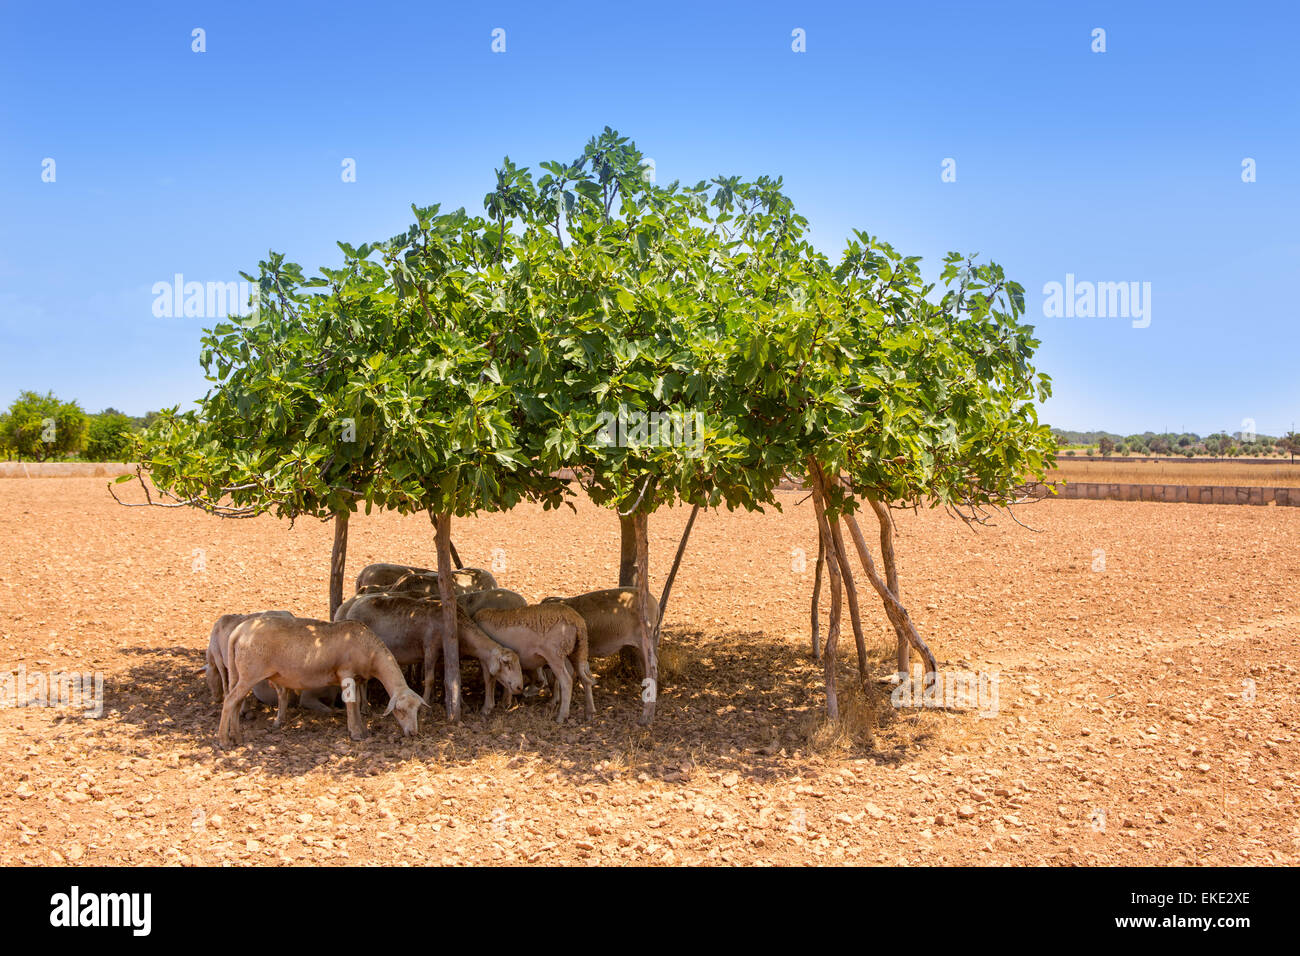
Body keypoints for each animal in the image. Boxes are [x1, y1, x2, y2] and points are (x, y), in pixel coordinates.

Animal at [218, 616, 426, 746]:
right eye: (399, 710)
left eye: (417, 710)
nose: (413, 734)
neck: (371, 653)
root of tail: (238, 631)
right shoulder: (346, 672)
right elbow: (350, 703)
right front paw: (355, 733)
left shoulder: (357, 678)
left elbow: (357, 703)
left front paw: (361, 729)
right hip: (250, 674)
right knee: (229, 701)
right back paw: (223, 740)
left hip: (238, 673)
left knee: (236, 702)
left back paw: (236, 736)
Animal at [335, 593, 524, 713]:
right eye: (506, 663)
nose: (519, 687)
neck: (459, 626)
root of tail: (353, 605)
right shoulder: (430, 648)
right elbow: (431, 679)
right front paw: (427, 704)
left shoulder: (446, 655)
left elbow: (453, 679)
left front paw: (460, 704)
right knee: (362, 682)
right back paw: (365, 706)